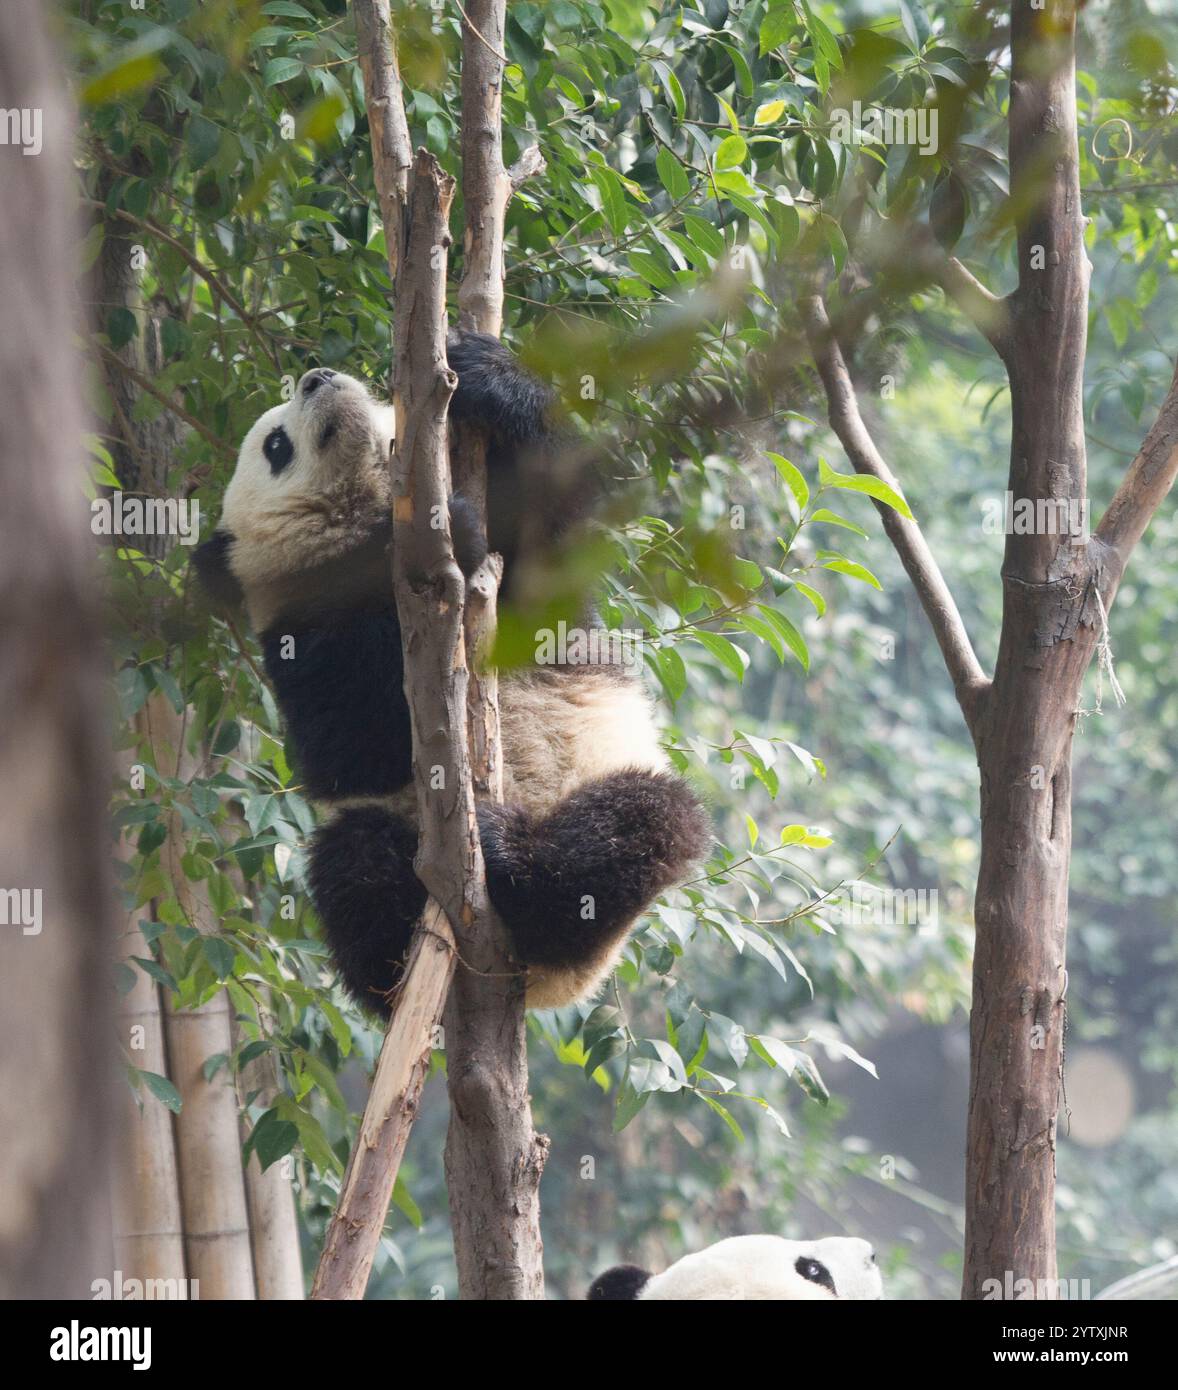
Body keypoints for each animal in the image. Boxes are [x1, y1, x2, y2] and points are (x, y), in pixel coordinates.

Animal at [194, 331, 711, 1016]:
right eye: (274, 445)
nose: (318, 377)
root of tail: (549, 985)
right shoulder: (299, 643)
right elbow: (350, 741)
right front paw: (449, 538)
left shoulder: (530, 578)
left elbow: (558, 526)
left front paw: (486, 373)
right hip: (389, 837)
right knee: (352, 863)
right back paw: (407, 959)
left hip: (611, 780)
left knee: (642, 824)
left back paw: (508, 852)